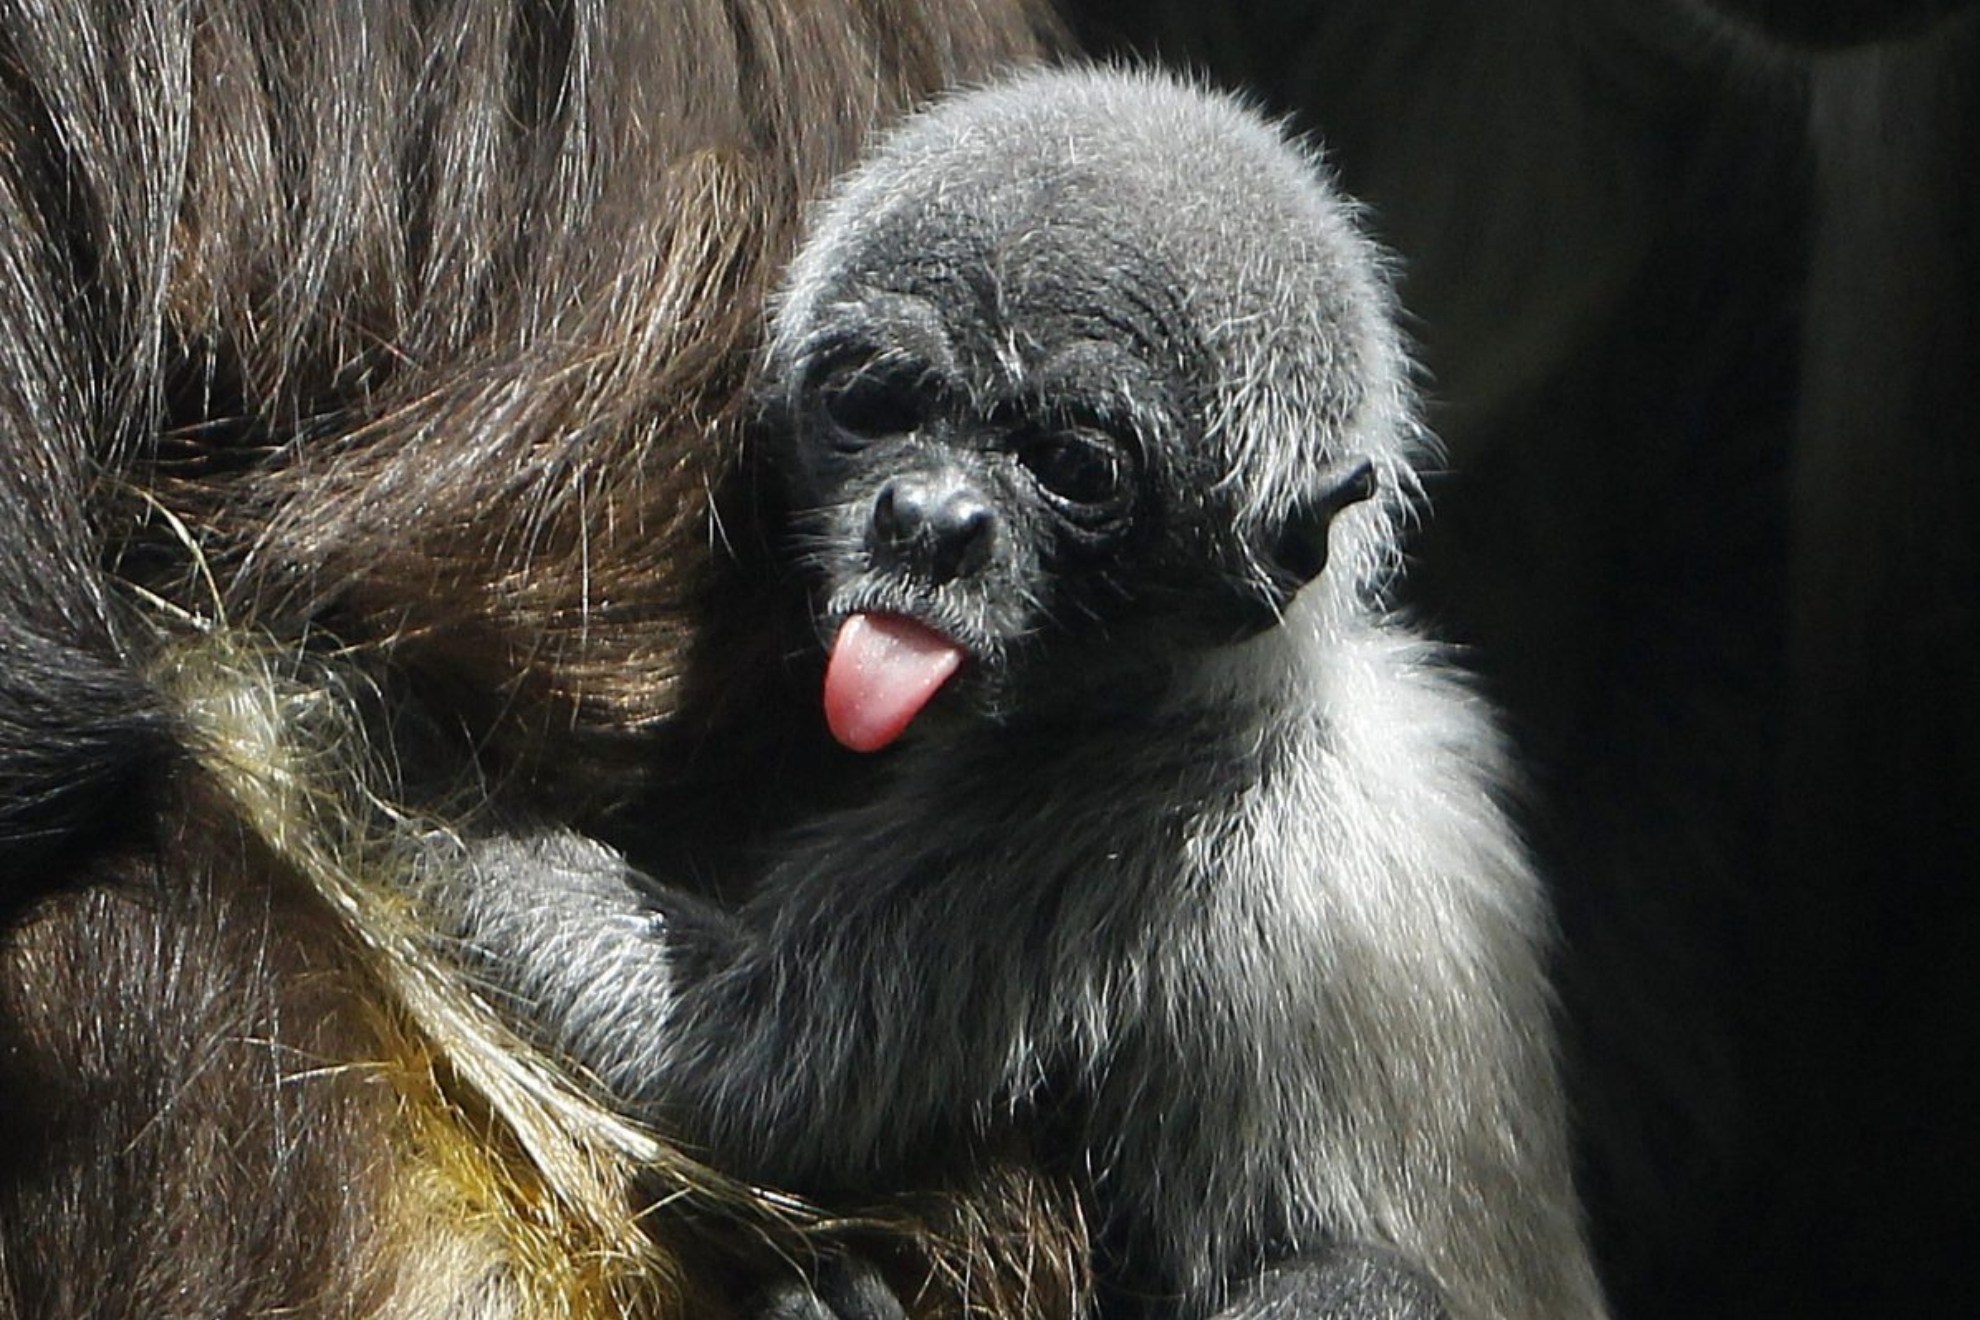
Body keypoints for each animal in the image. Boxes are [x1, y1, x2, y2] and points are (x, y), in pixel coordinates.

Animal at [446, 66, 1608, 1320]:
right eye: (880, 401)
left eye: (1076, 470)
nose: (930, 522)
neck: (1256, 677)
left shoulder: (1093, 803)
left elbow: (737, 1065)